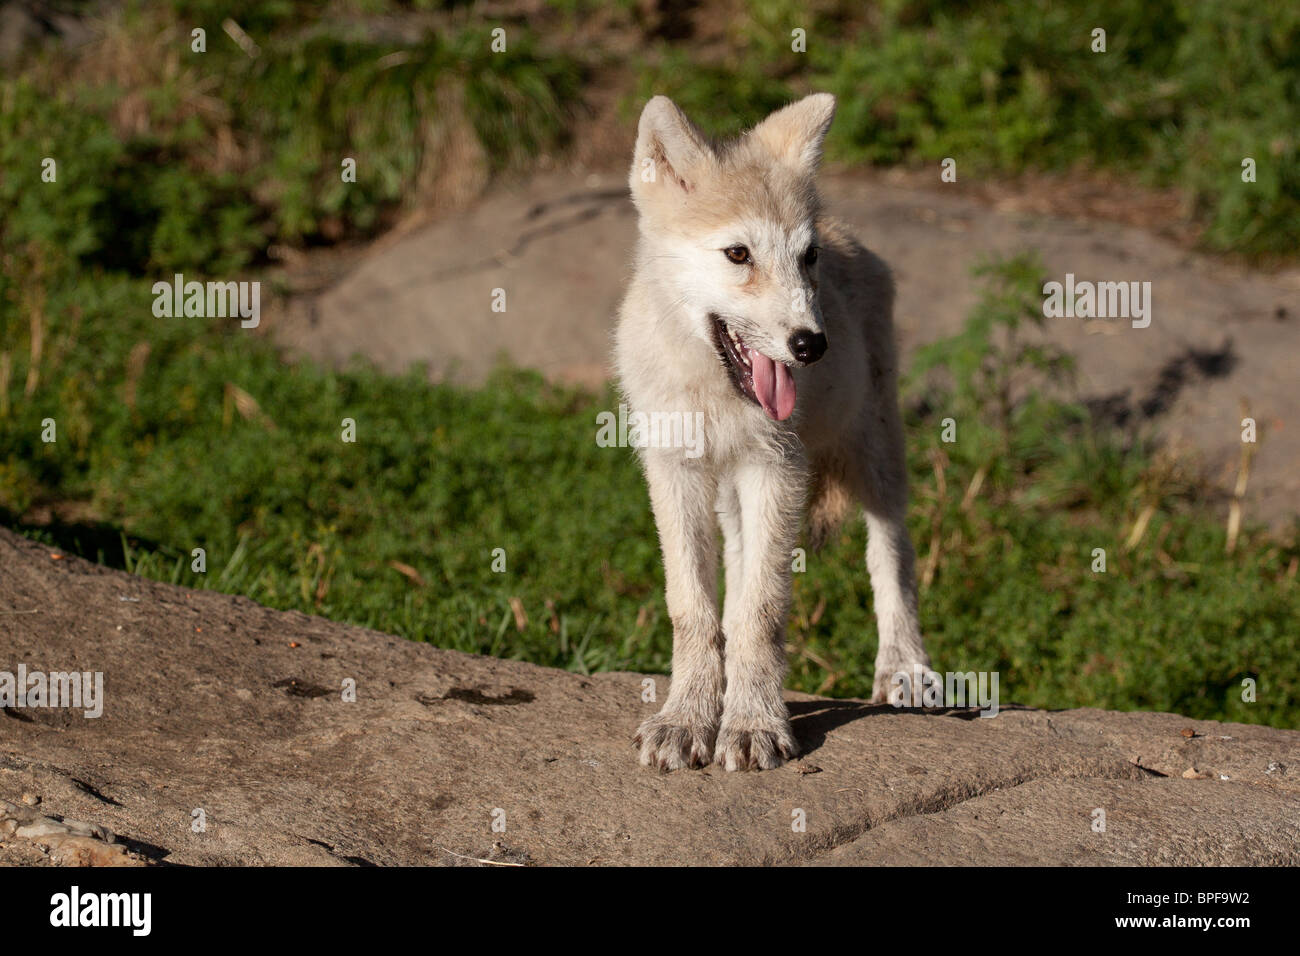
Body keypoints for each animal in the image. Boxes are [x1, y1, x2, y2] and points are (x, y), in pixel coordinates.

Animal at [614, 93, 939, 772]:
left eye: (806, 258)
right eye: (739, 254)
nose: (811, 345)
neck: (712, 392)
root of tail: (851, 235)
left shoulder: (778, 469)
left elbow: (763, 611)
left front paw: (752, 725)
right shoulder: (676, 471)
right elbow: (695, 610)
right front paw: (688, 720)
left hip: (874, 456)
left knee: (892, 552)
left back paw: (905, 669)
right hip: (737, 498)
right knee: (738, 580)